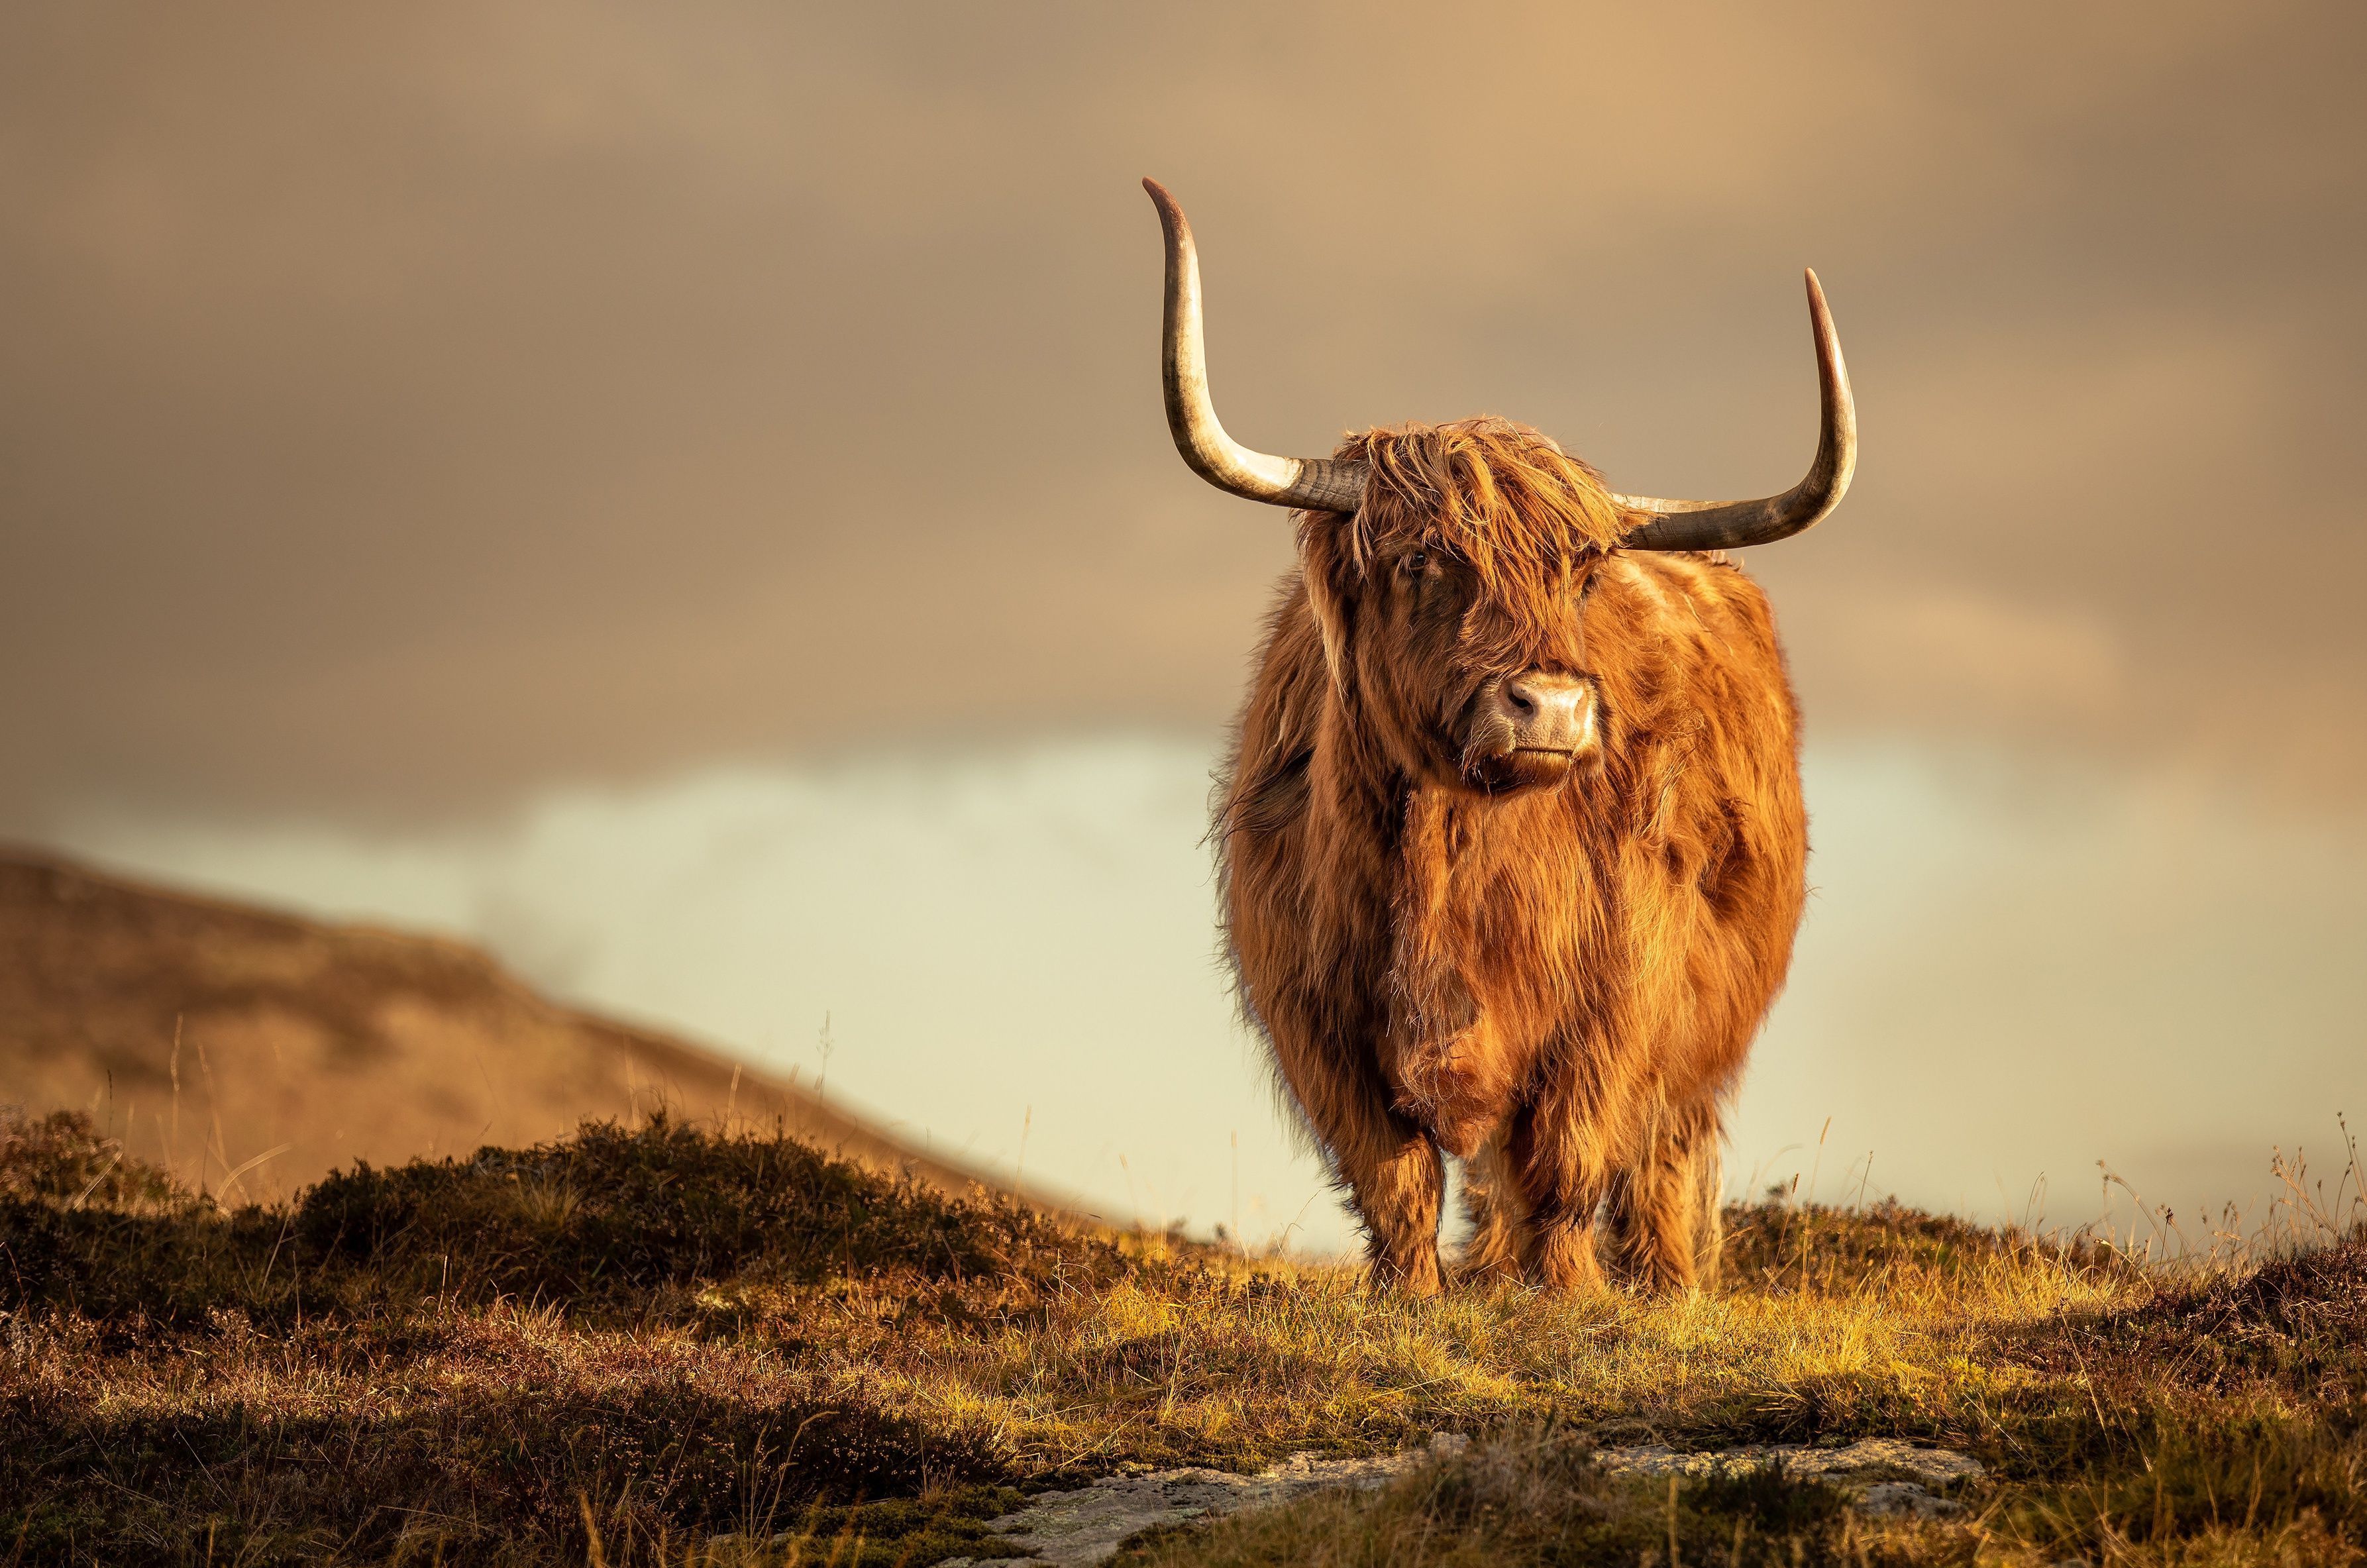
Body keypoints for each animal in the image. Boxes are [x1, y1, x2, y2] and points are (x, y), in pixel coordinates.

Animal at [1143, 179, 1855, 1295]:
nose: (1551, 708)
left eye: (1581, 573)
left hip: (1701, 1036)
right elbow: (1394, 1177)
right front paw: (1411, 1295)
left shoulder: (1614, 1002)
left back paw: (1665, 1284)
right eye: (1420, 559)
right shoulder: (1319, 1019)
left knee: (1661, 1153)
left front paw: (1568, 1297)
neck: (1448, 856)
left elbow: (1568, 1157)